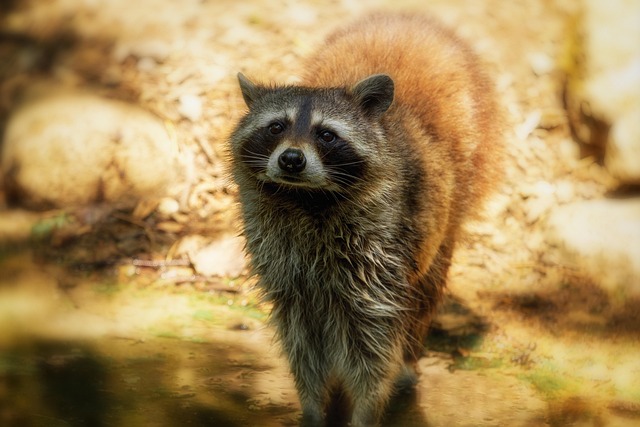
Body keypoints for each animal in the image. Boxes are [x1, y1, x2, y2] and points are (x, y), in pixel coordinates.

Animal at [228, 12, 503, 426]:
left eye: (326, 135)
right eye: (276, 126)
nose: (291, 160)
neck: (308, 199)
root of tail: (411, 20)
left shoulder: (380, 254)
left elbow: (373, 342)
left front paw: (365, 409)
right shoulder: (287, 267)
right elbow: (303, 343)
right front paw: (313, 406)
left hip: (457, 187)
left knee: (424, 292)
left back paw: (408, 362)